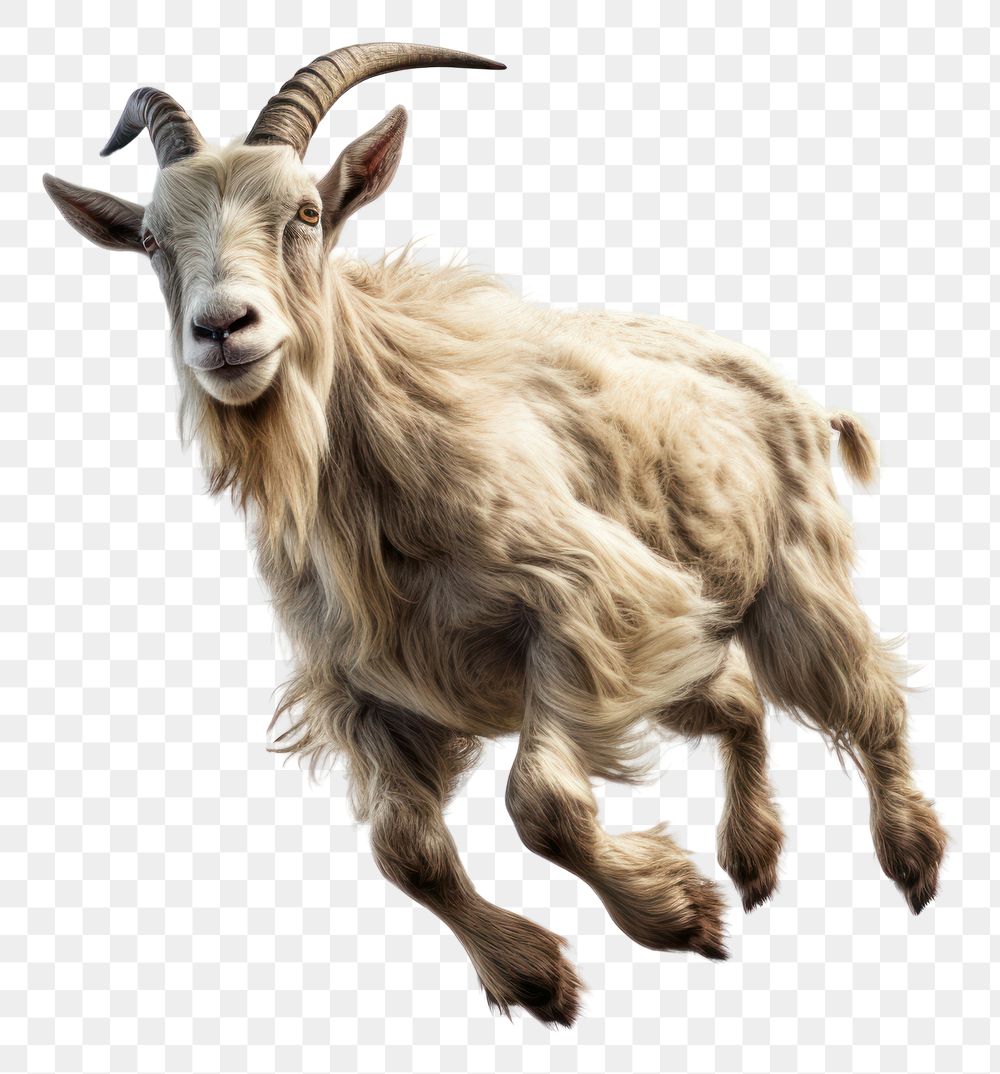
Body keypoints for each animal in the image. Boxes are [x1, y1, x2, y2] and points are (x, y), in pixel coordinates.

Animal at [44, 42, 947, 1027]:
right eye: (151, 240)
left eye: (307, 214)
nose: (222, 329)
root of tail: (802, 400)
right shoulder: (366, 690)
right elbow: (406, 852)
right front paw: (536, 975)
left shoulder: (590, 605)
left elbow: (540, 804)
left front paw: (674, 915)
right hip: (690, 642)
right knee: (743, 703)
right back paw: (753, 860)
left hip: (793, 579)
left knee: (866, 699)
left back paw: (912, 861)